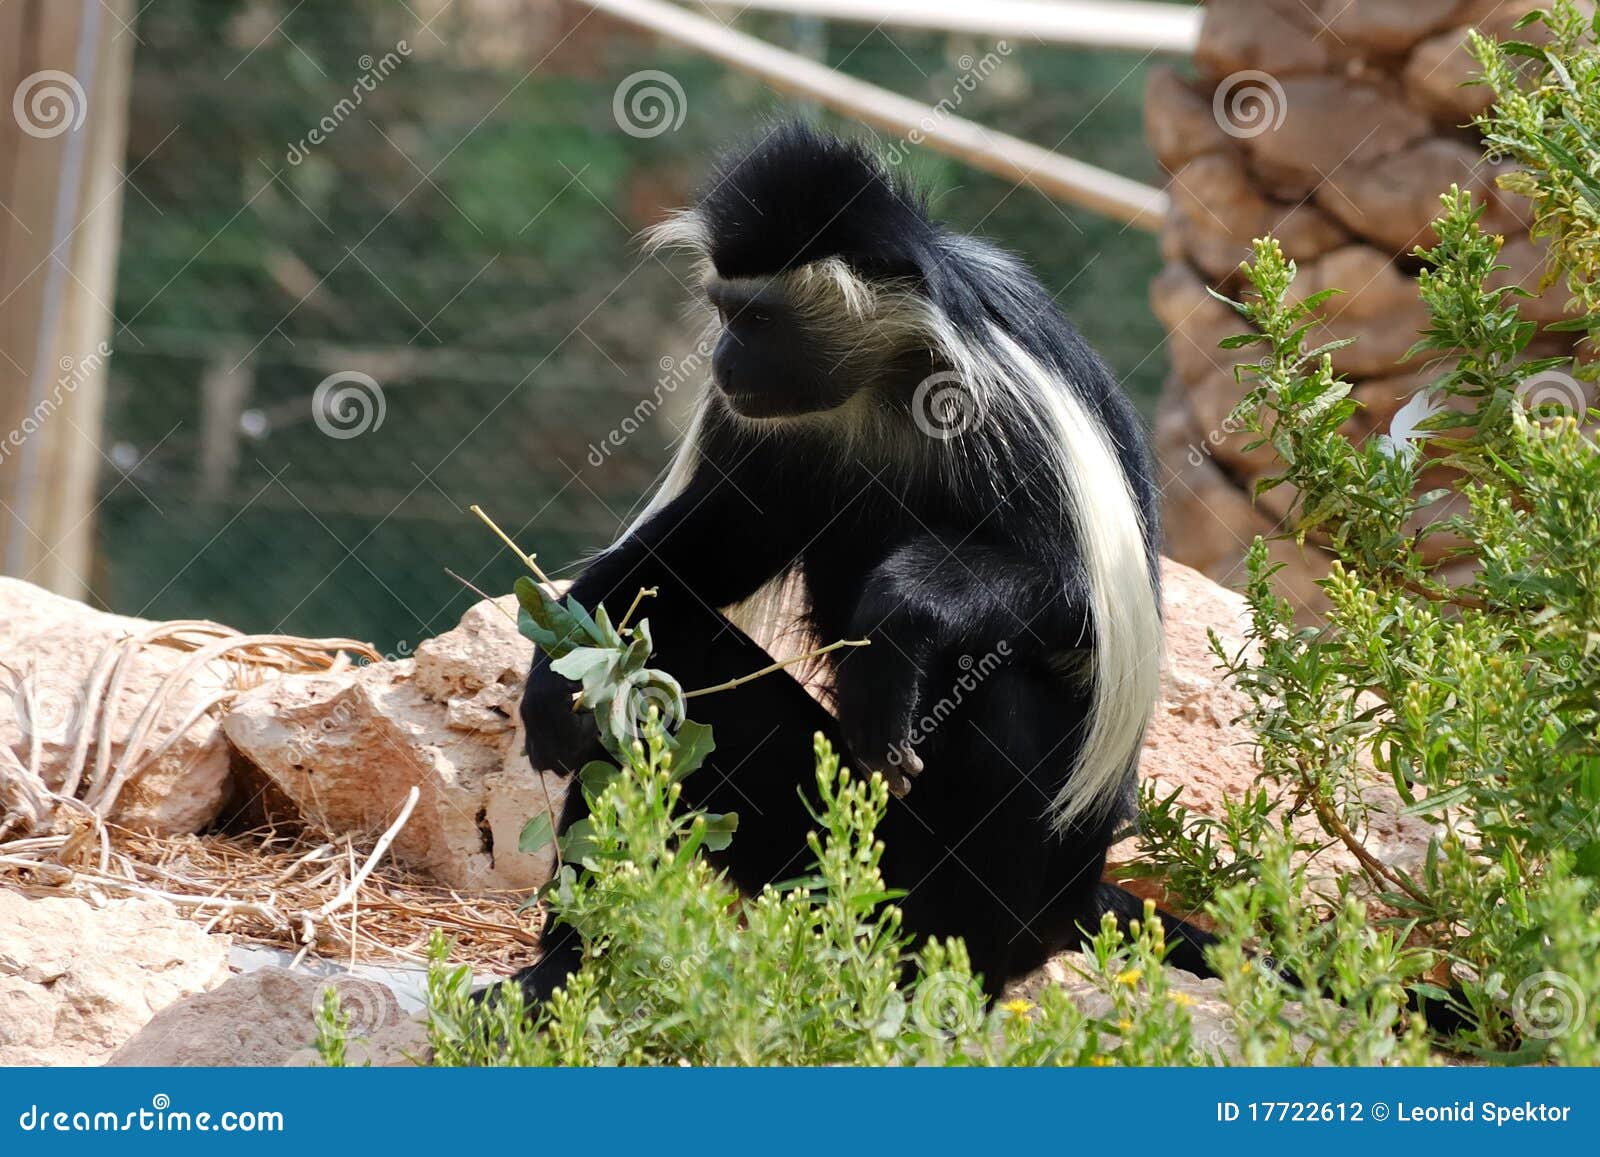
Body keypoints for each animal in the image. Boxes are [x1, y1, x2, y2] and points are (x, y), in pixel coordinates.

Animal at [511, 121, 1215, 1006]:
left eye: (757, 318)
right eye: (723, 310)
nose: (721, 363)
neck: (884, 378)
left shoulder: (1011, 406)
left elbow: (1077, 599)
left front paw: (896, 626)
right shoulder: (773, 435)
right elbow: (705, 553)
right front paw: (555, 671)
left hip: (1032, 862)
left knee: (1011, 698)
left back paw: (952, 969)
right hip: (815, 839)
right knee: (667, 663)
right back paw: (556, 975)